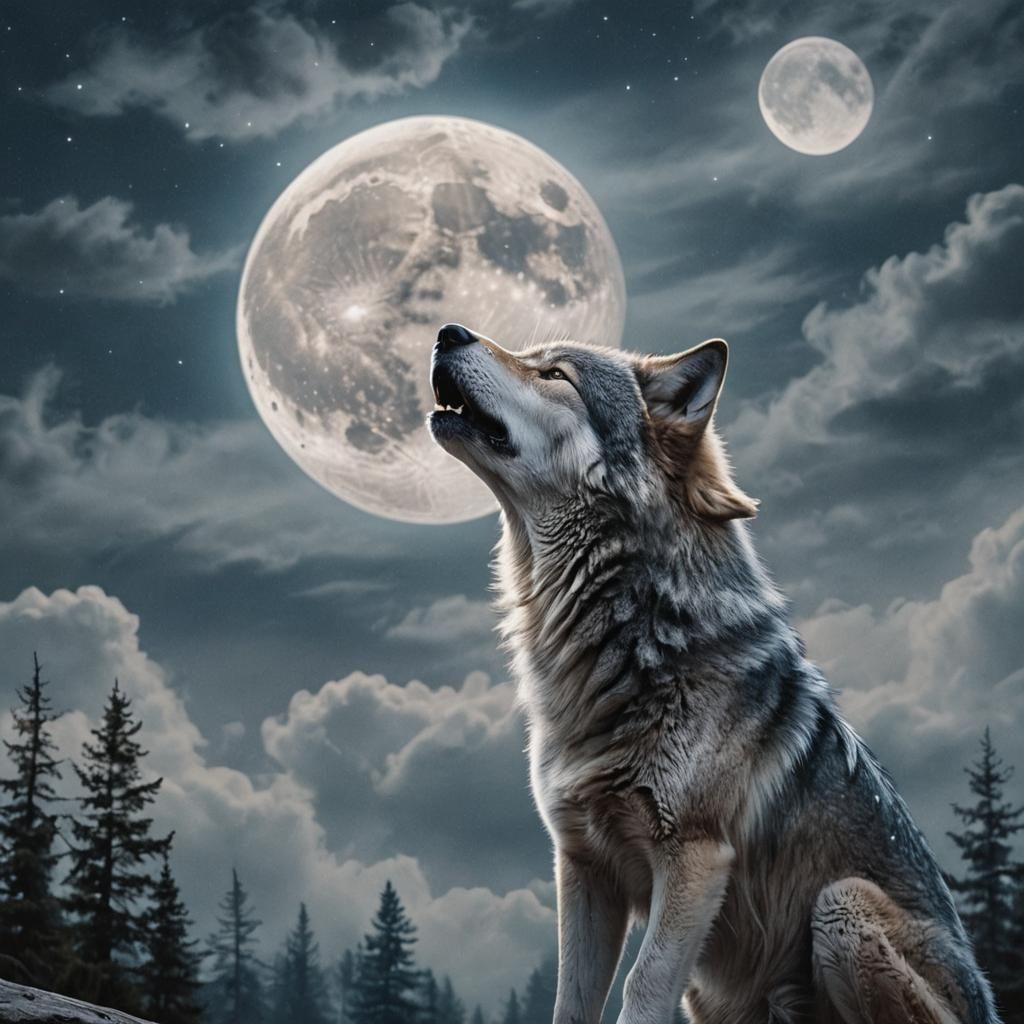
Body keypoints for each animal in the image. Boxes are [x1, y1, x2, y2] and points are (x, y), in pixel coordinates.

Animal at [426, 323, 999, 1024]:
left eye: (555, 374)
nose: (447, 331)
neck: (627, 643)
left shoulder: (693, 861)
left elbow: (642, 989)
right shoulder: (583, 867)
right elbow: (570, 1002)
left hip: (841, 906)